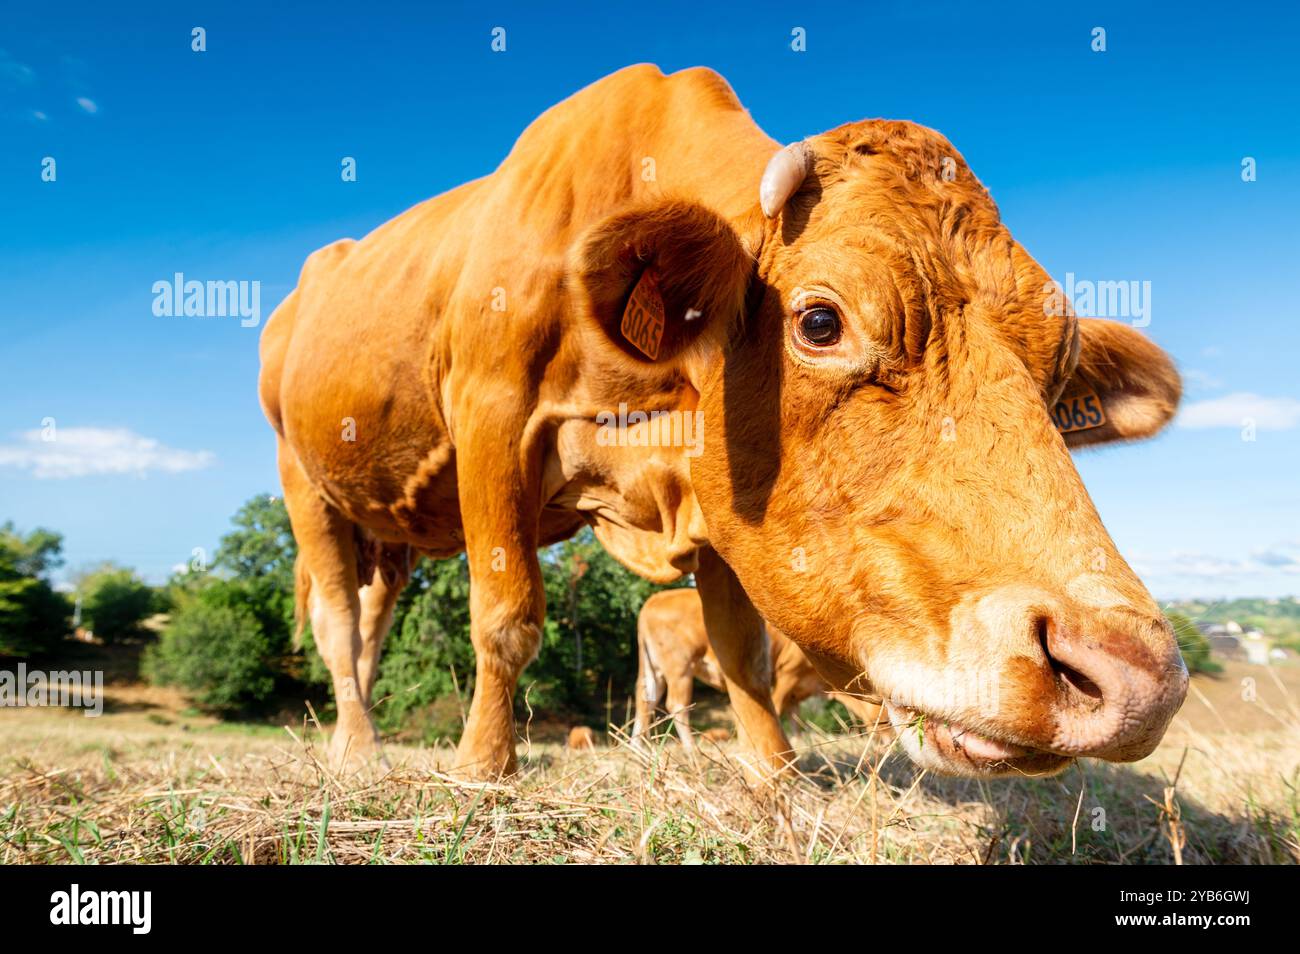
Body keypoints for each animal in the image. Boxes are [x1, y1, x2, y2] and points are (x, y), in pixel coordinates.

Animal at [633, 587, 883, 749]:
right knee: (677, 705)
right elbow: (778, 710)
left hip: (654, 670)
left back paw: (638, 749)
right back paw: (691, 750)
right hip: (680, 668)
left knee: (645, 702)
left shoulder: (797, 691)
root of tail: (653, 600)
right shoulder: (786, 676)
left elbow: (796, 722)